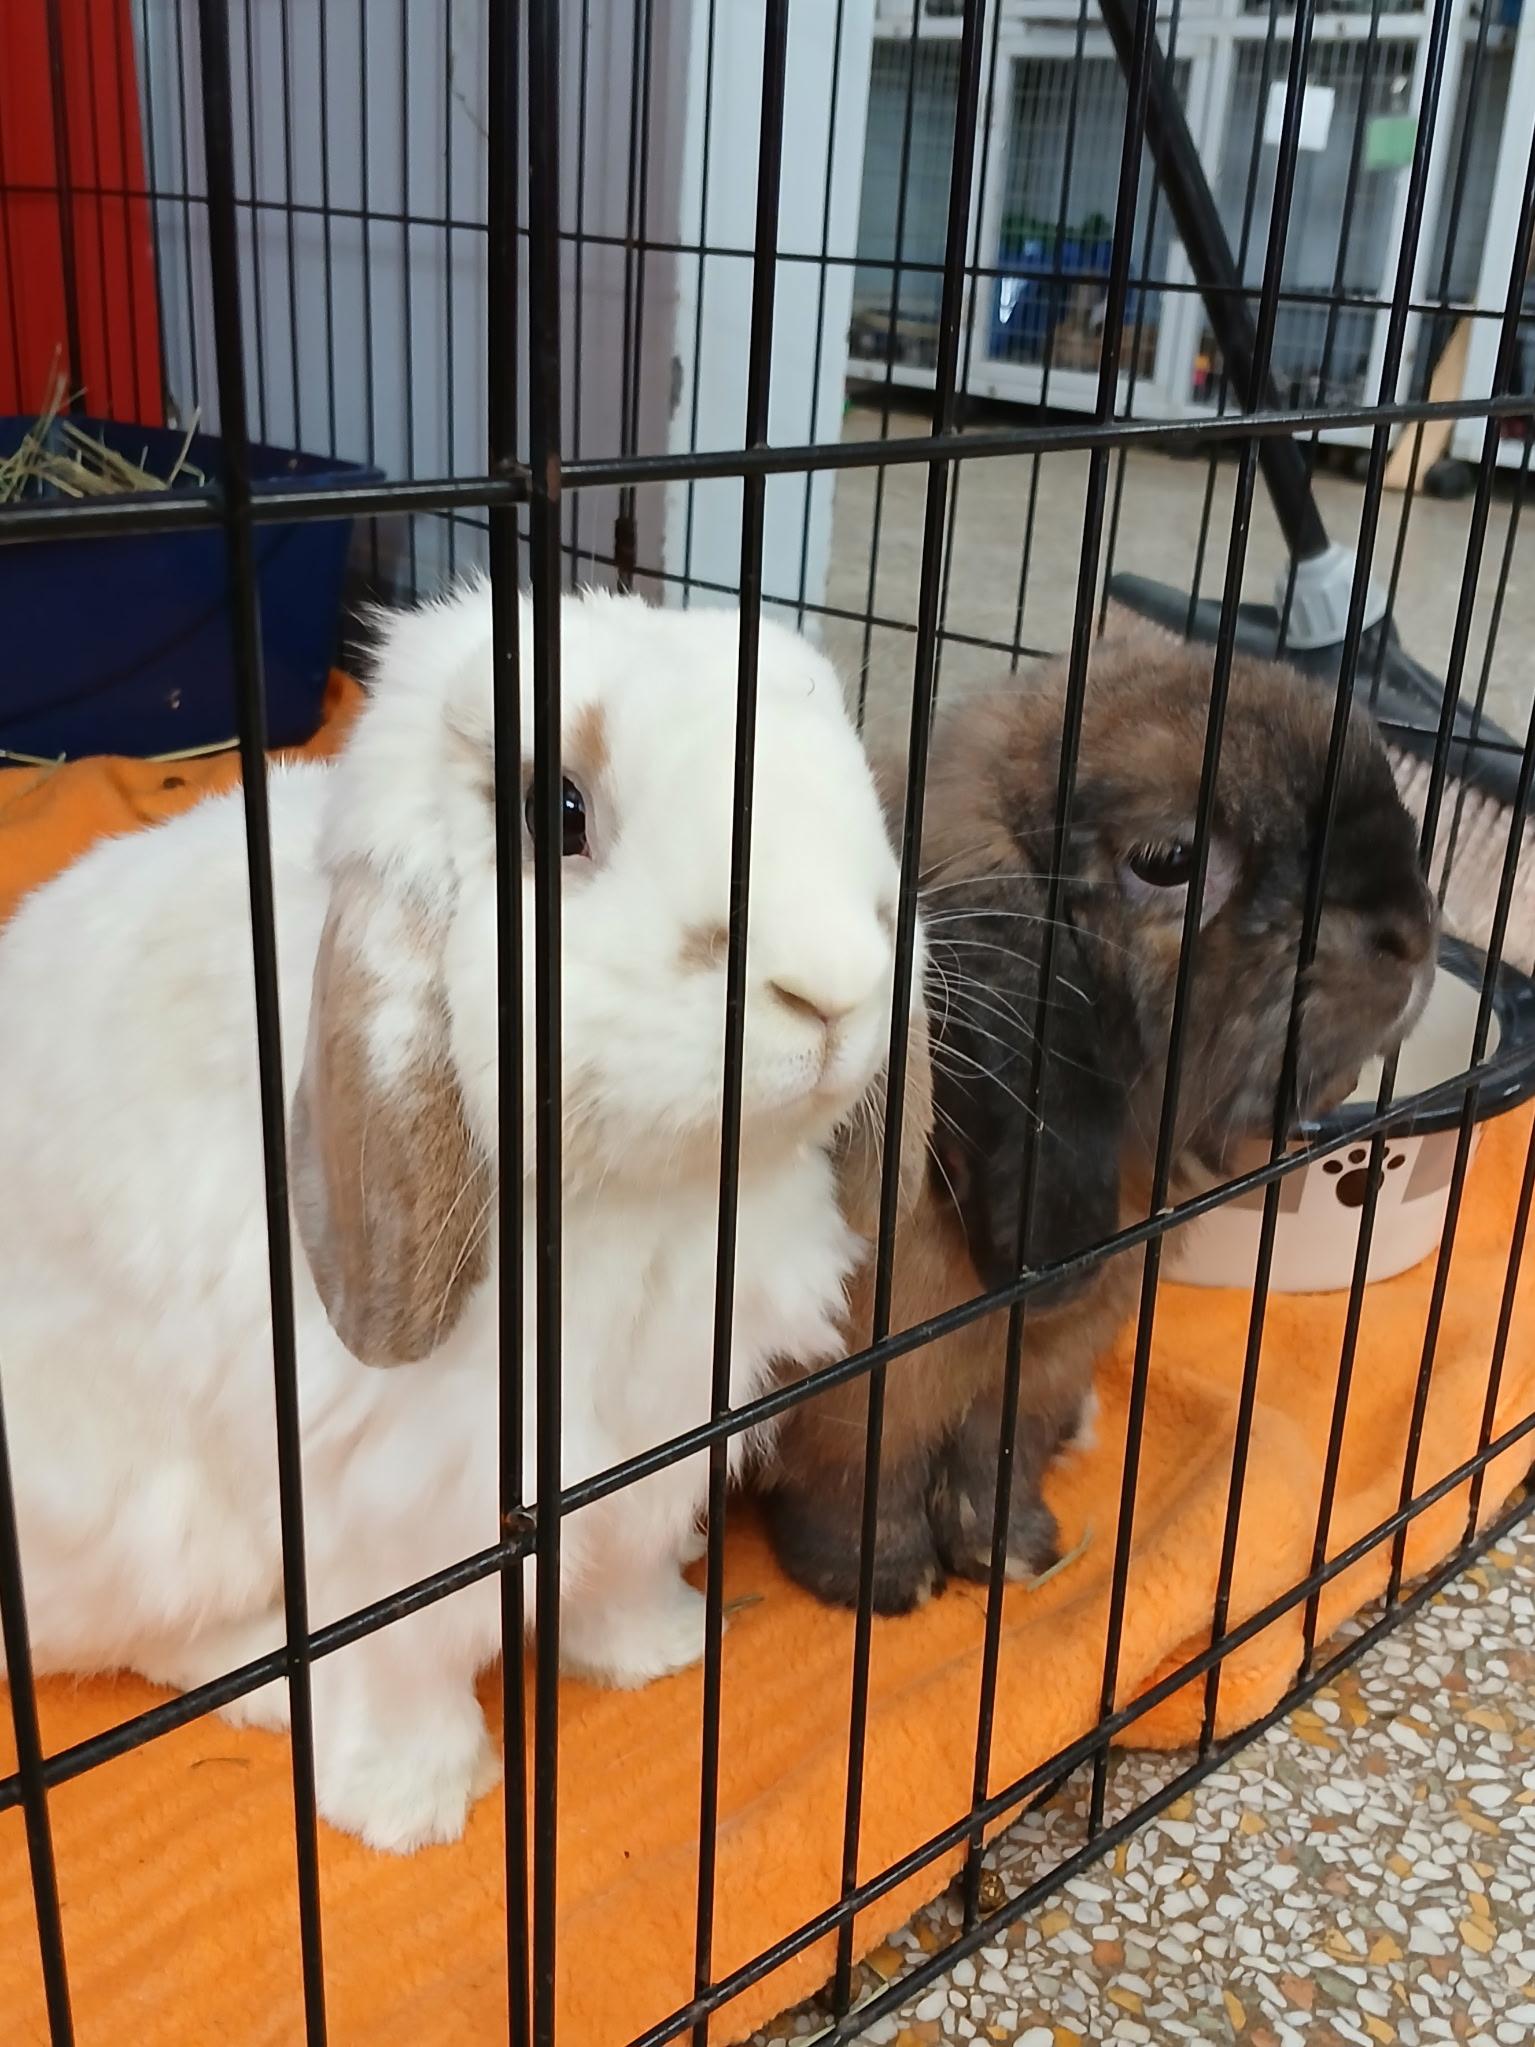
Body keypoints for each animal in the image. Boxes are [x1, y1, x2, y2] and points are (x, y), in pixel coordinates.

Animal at [0, 583, 910, 1853]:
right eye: (556, 812)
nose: (833, 987)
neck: (650, 1199)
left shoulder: (654, 1440)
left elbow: (620, 1573)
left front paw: (661, 1650)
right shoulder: (406, 1511)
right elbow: (405, 1667)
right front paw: (413, 1804)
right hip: (136, 1518)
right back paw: (271, 1685)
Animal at [766, 640, 1437, 1612]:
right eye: (1167, 858)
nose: (1411, 939)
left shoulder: (1033, 1379)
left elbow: (995, 1464)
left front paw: (1013, 1554)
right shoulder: (867, 1391)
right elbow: (864, 1478)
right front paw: (884, 1584)